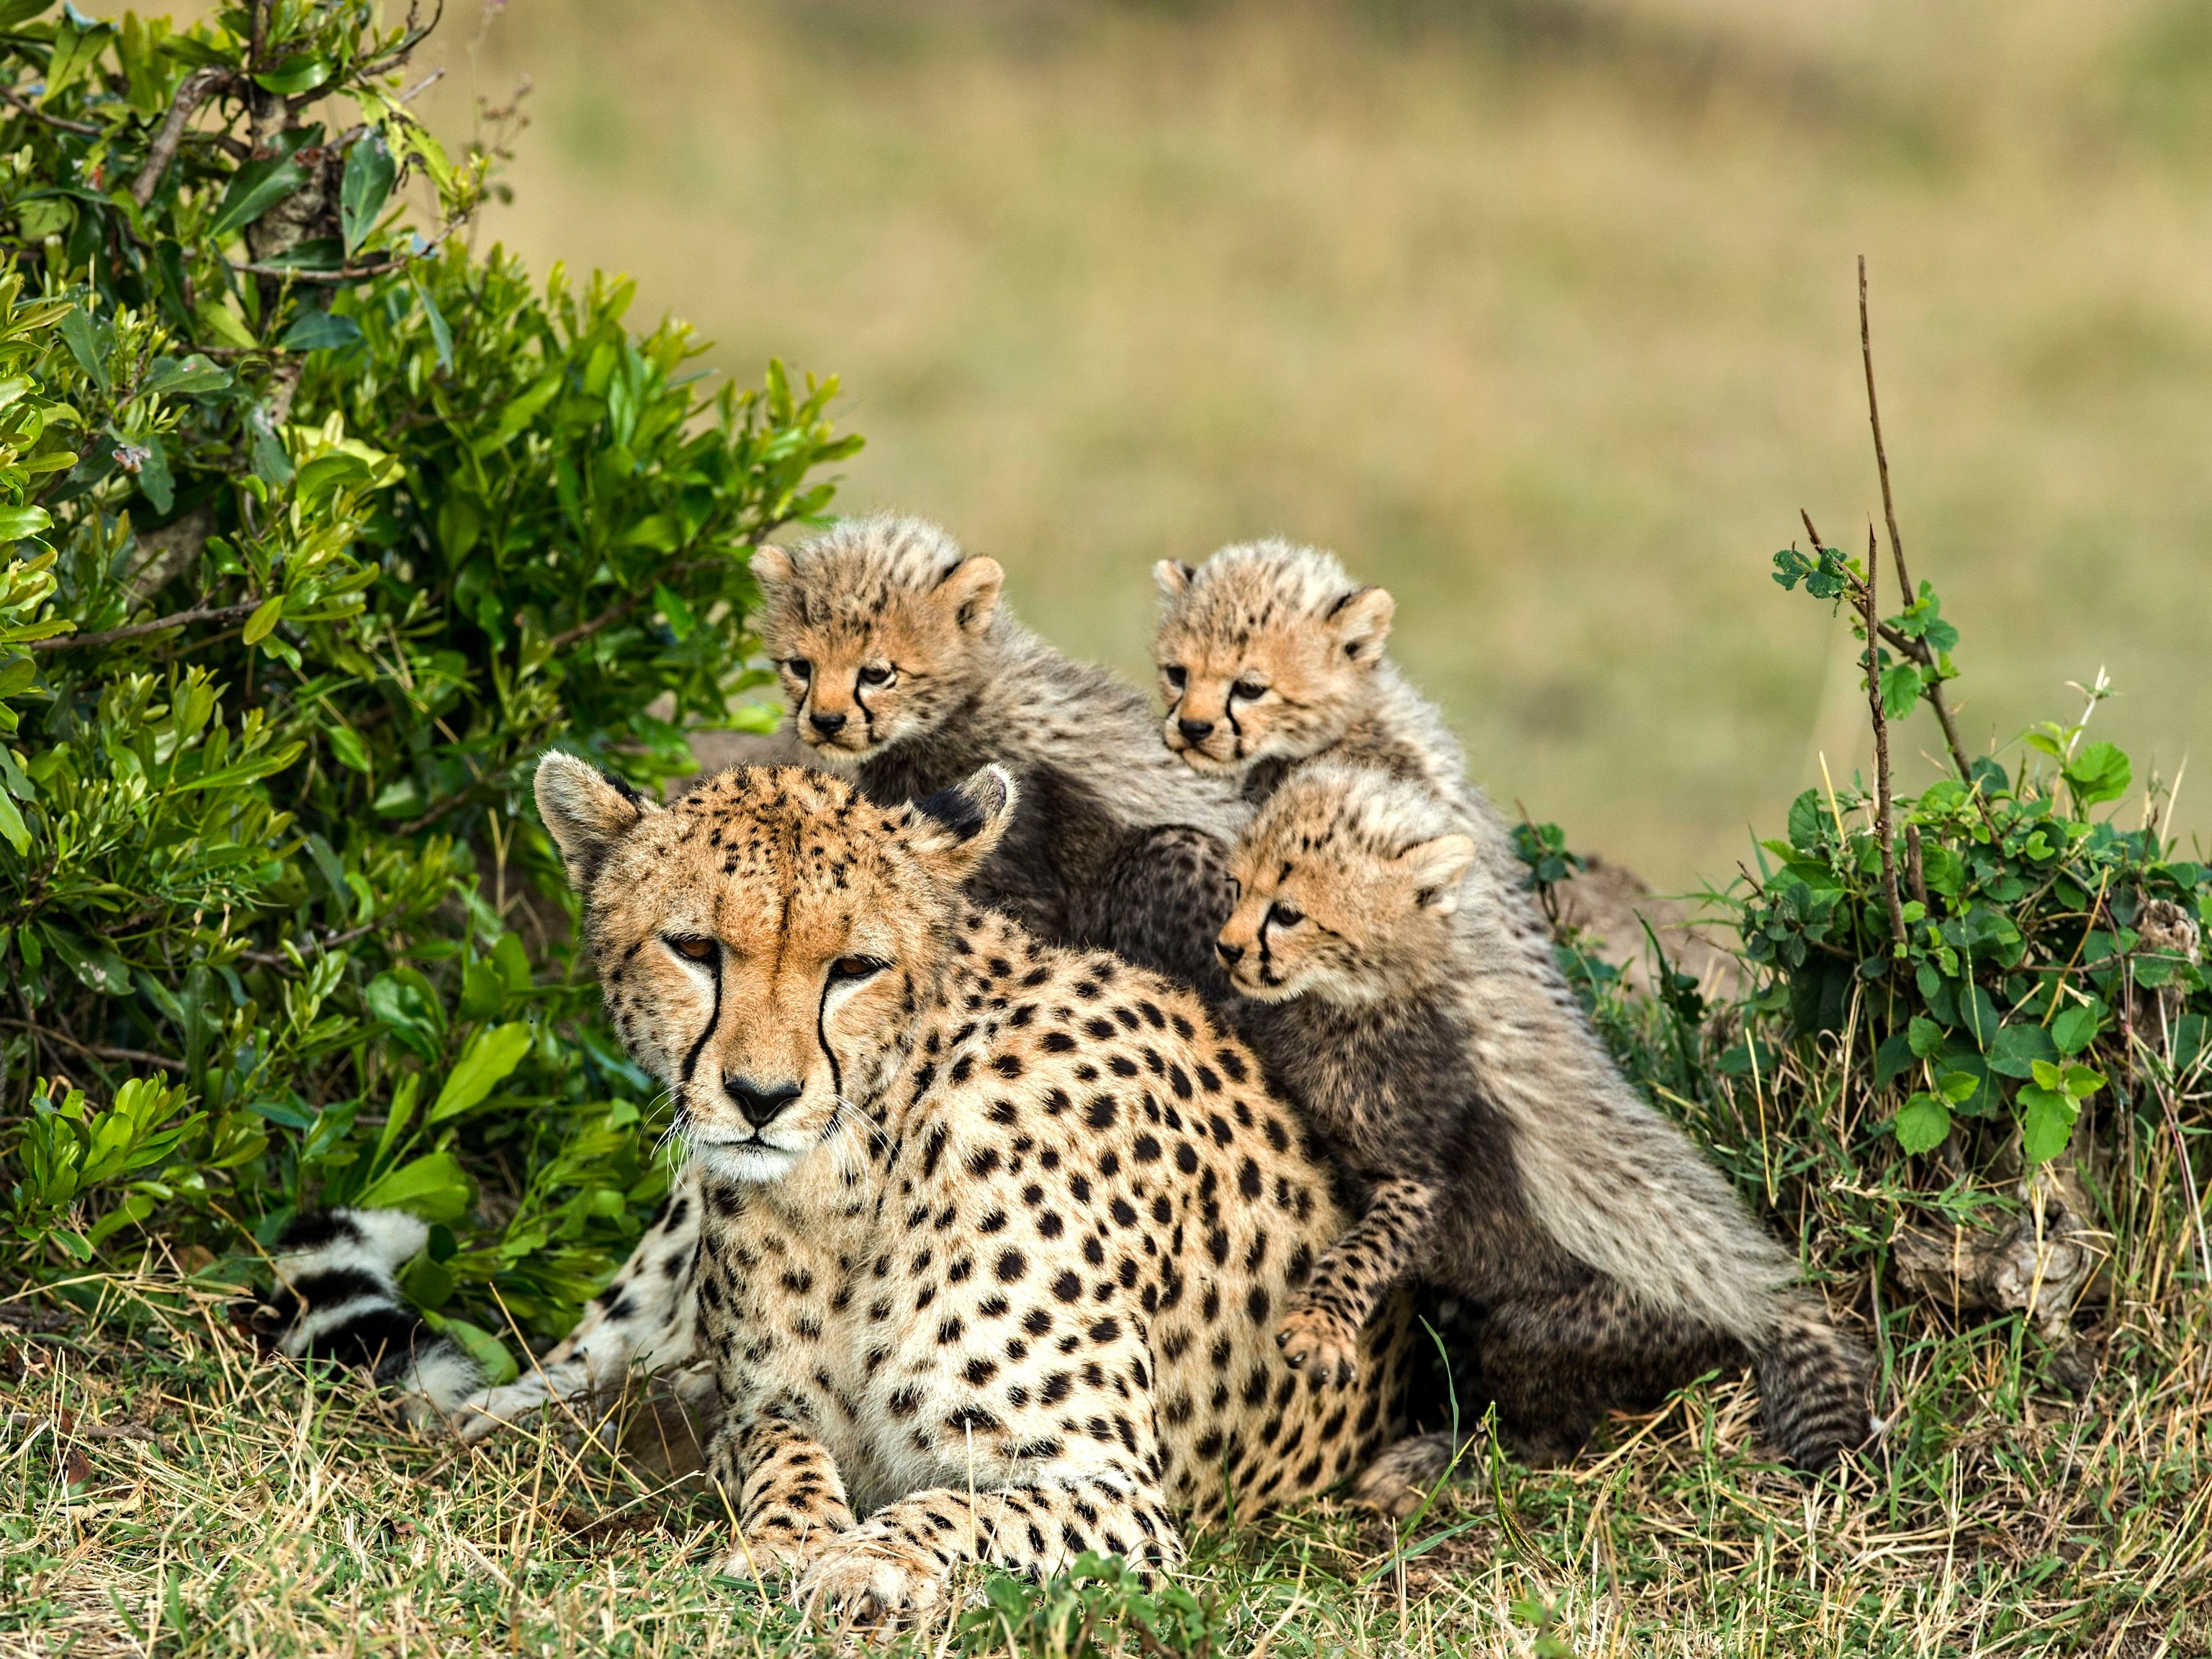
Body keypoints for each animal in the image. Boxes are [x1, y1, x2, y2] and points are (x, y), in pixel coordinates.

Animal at [516, 753, 1410, 1623]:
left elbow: (966, 1507)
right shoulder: (757, 1408)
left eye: (856, 968)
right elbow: (787, 1456)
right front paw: (787, 1542)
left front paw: (868, 1562)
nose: (761, 1099)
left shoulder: (1119, 1493)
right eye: (696, 949)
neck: (861, 1169)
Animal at [1217, 759, 1872, 1510]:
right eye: (1236, 887)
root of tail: (1759, 1296)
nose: (1228, 947)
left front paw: (1322, 1326)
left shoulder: (1418, 1179)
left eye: (1288, 912)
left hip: (1549, 1328)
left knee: (1547, 1440)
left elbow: (1365, 1250)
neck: (1371, 993)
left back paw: (1437, 1463)